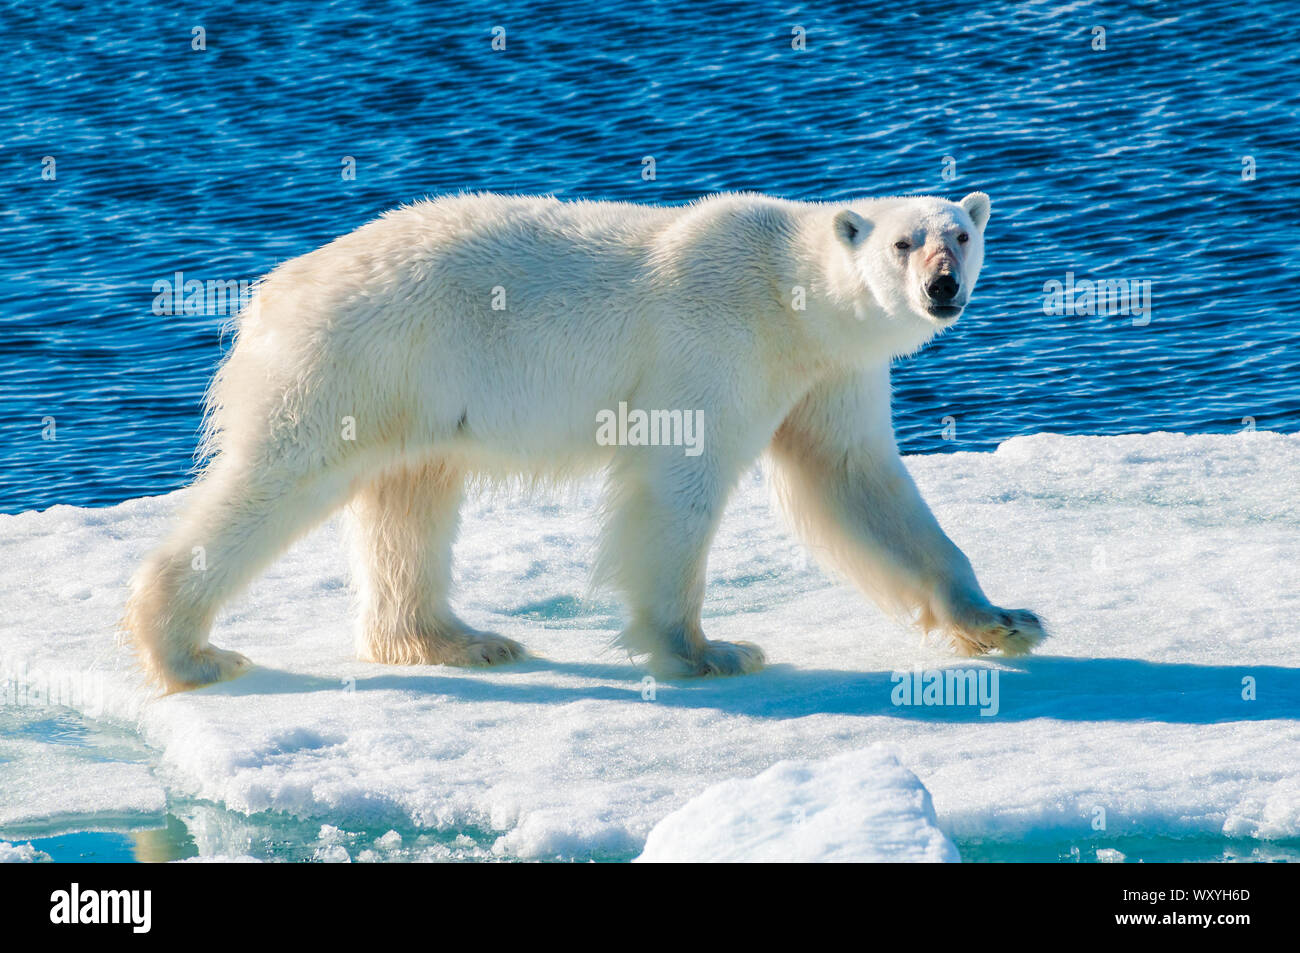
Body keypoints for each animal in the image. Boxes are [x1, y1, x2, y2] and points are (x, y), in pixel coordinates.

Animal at [121, 190, 1045, 693]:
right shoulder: (712, 348)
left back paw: (461, 639)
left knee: (411, 500)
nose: (941, 286)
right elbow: (678, 489)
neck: (785, 292)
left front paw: (1005, 619)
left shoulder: (827, 374)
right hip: (355, 359)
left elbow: (861, 484)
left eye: (960, 234)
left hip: (412, 393)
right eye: (902, 240)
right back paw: (188, 650)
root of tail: (271, 293)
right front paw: (707, 650)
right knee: (277, 480)